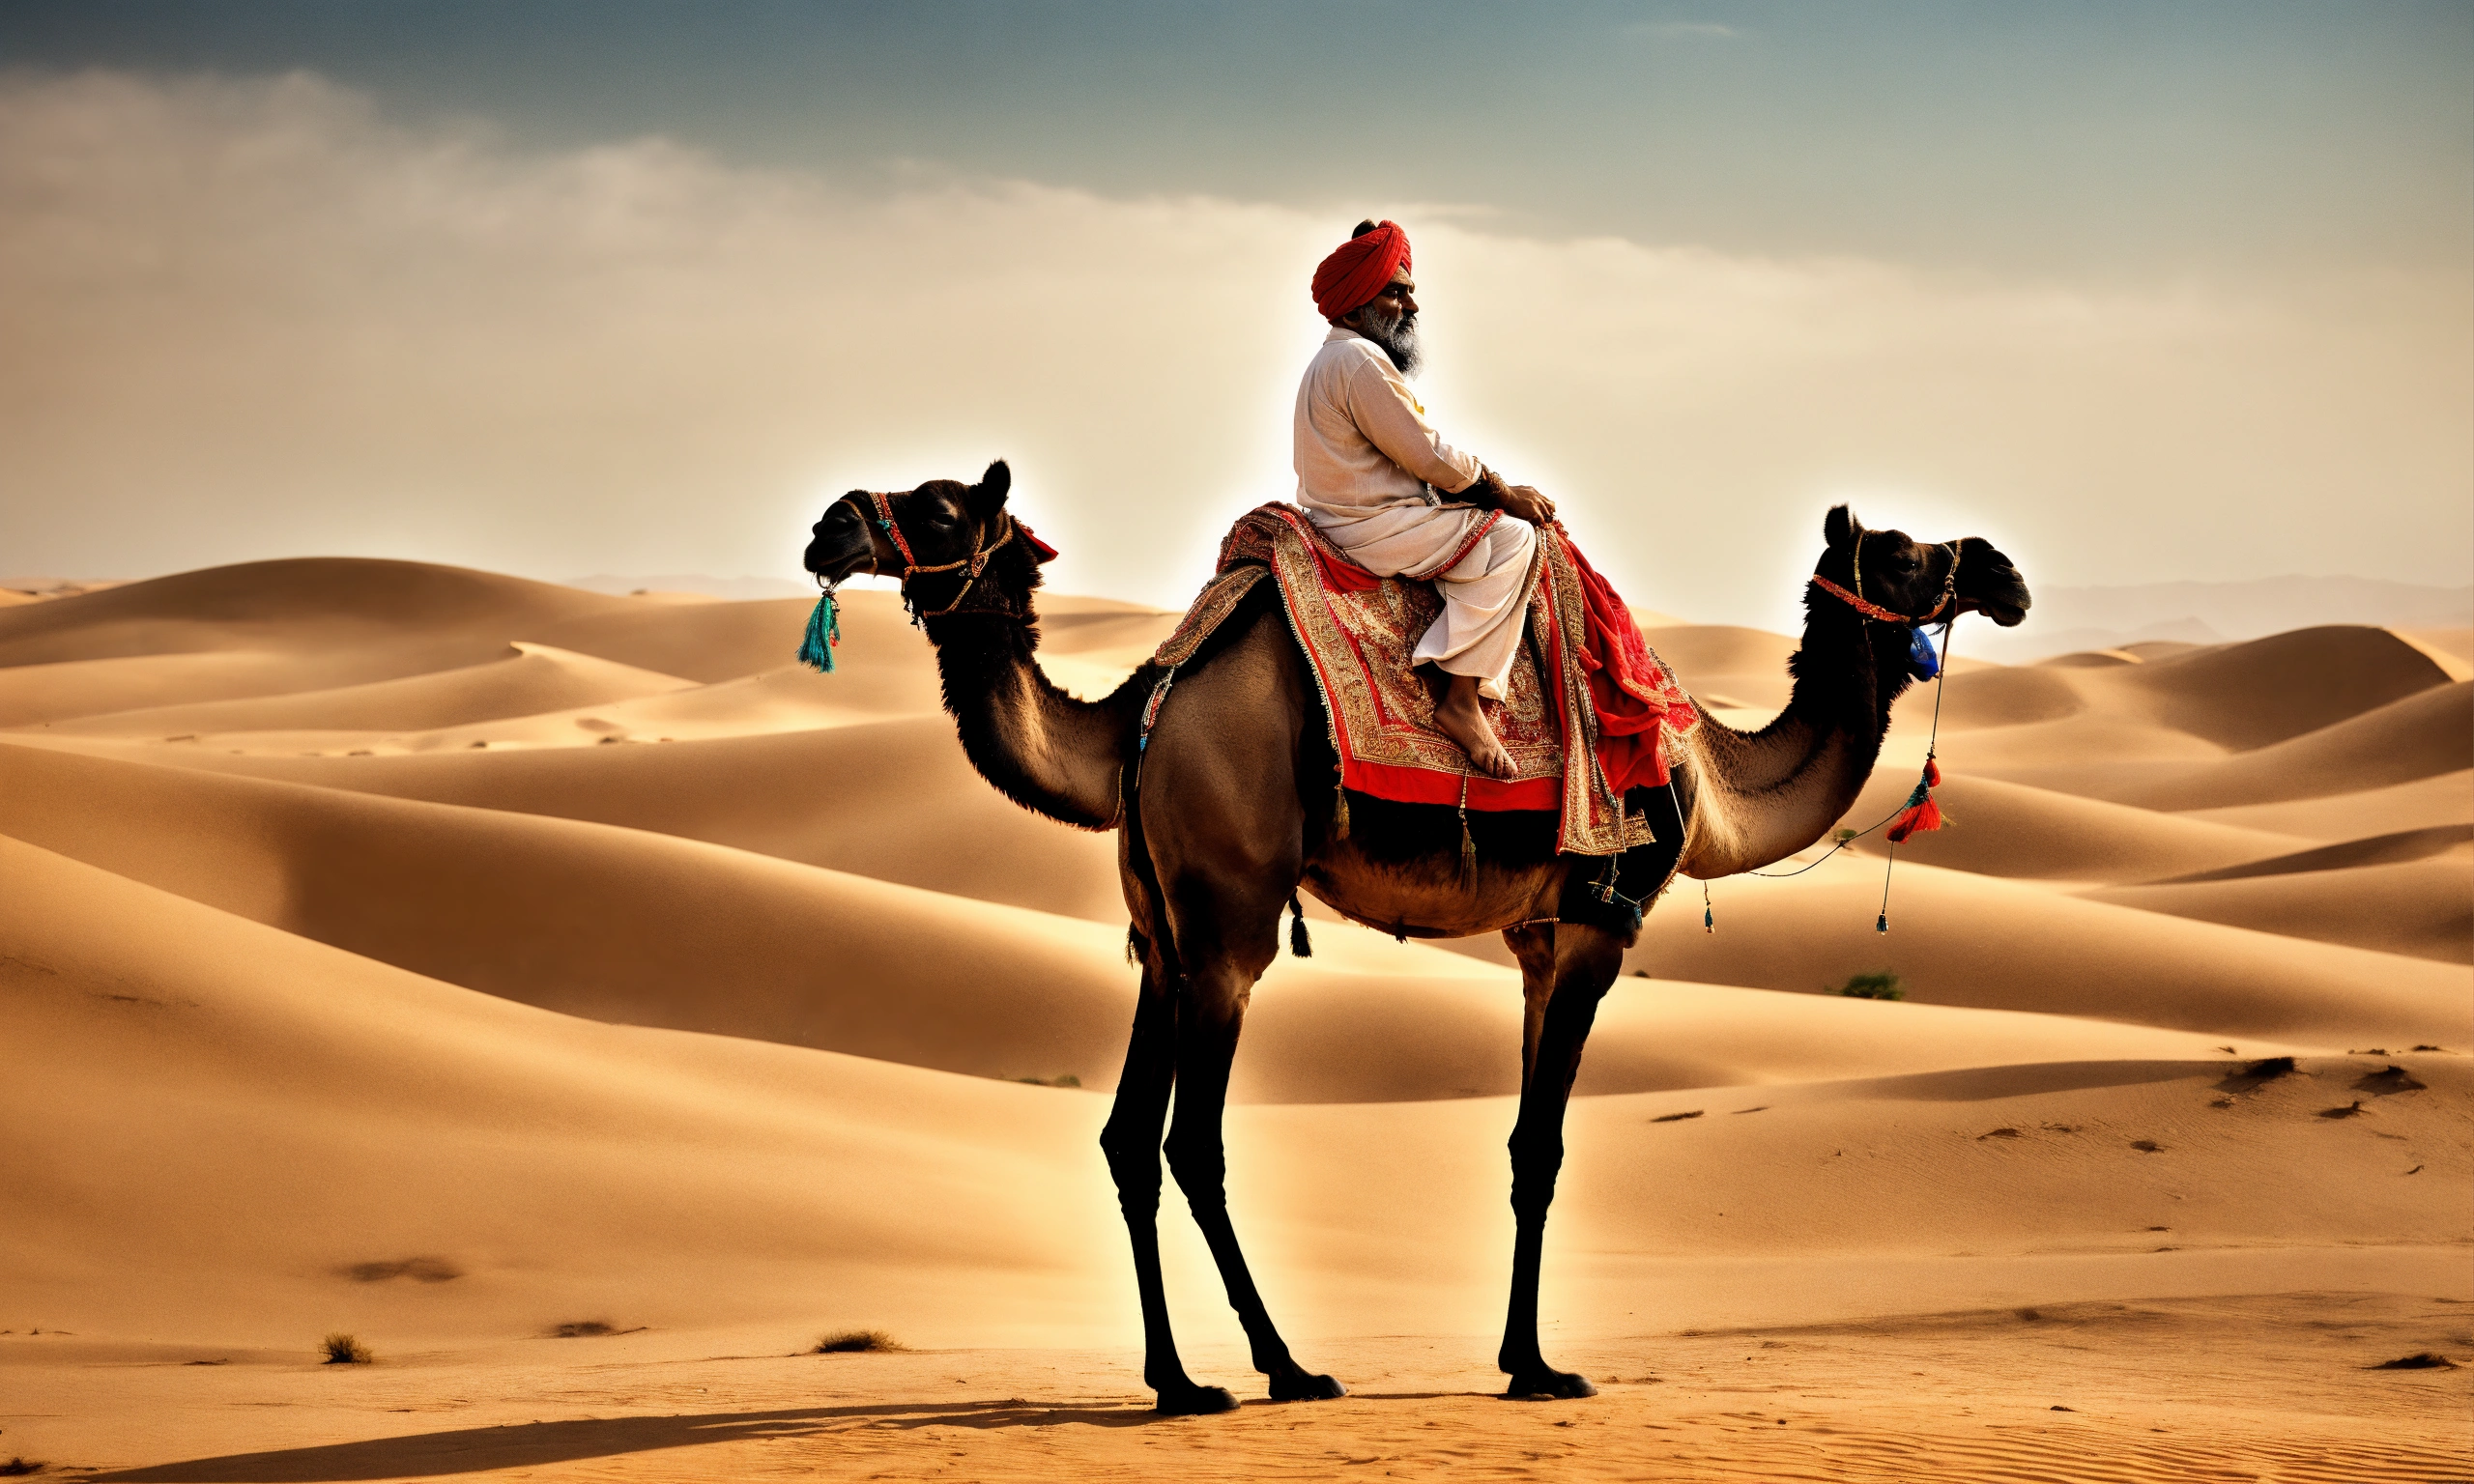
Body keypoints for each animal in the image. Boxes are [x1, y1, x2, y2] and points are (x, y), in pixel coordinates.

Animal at [803, 462, 2031, 1412]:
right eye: (1908, 554)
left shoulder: (1538, 938)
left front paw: (1520, 1358)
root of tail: (1149, 709)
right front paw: (1536, 1369)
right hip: (1230, 924)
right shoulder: (1599, 927)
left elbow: (1521, 1150)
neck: (1713, 775)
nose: (2004, 571)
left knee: (1125, 1138)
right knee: (1191, 1139)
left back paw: (1179, 1381)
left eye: (939, 504)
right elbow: (1542, 1150)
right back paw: (1286, 1369)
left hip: (1163, 936)